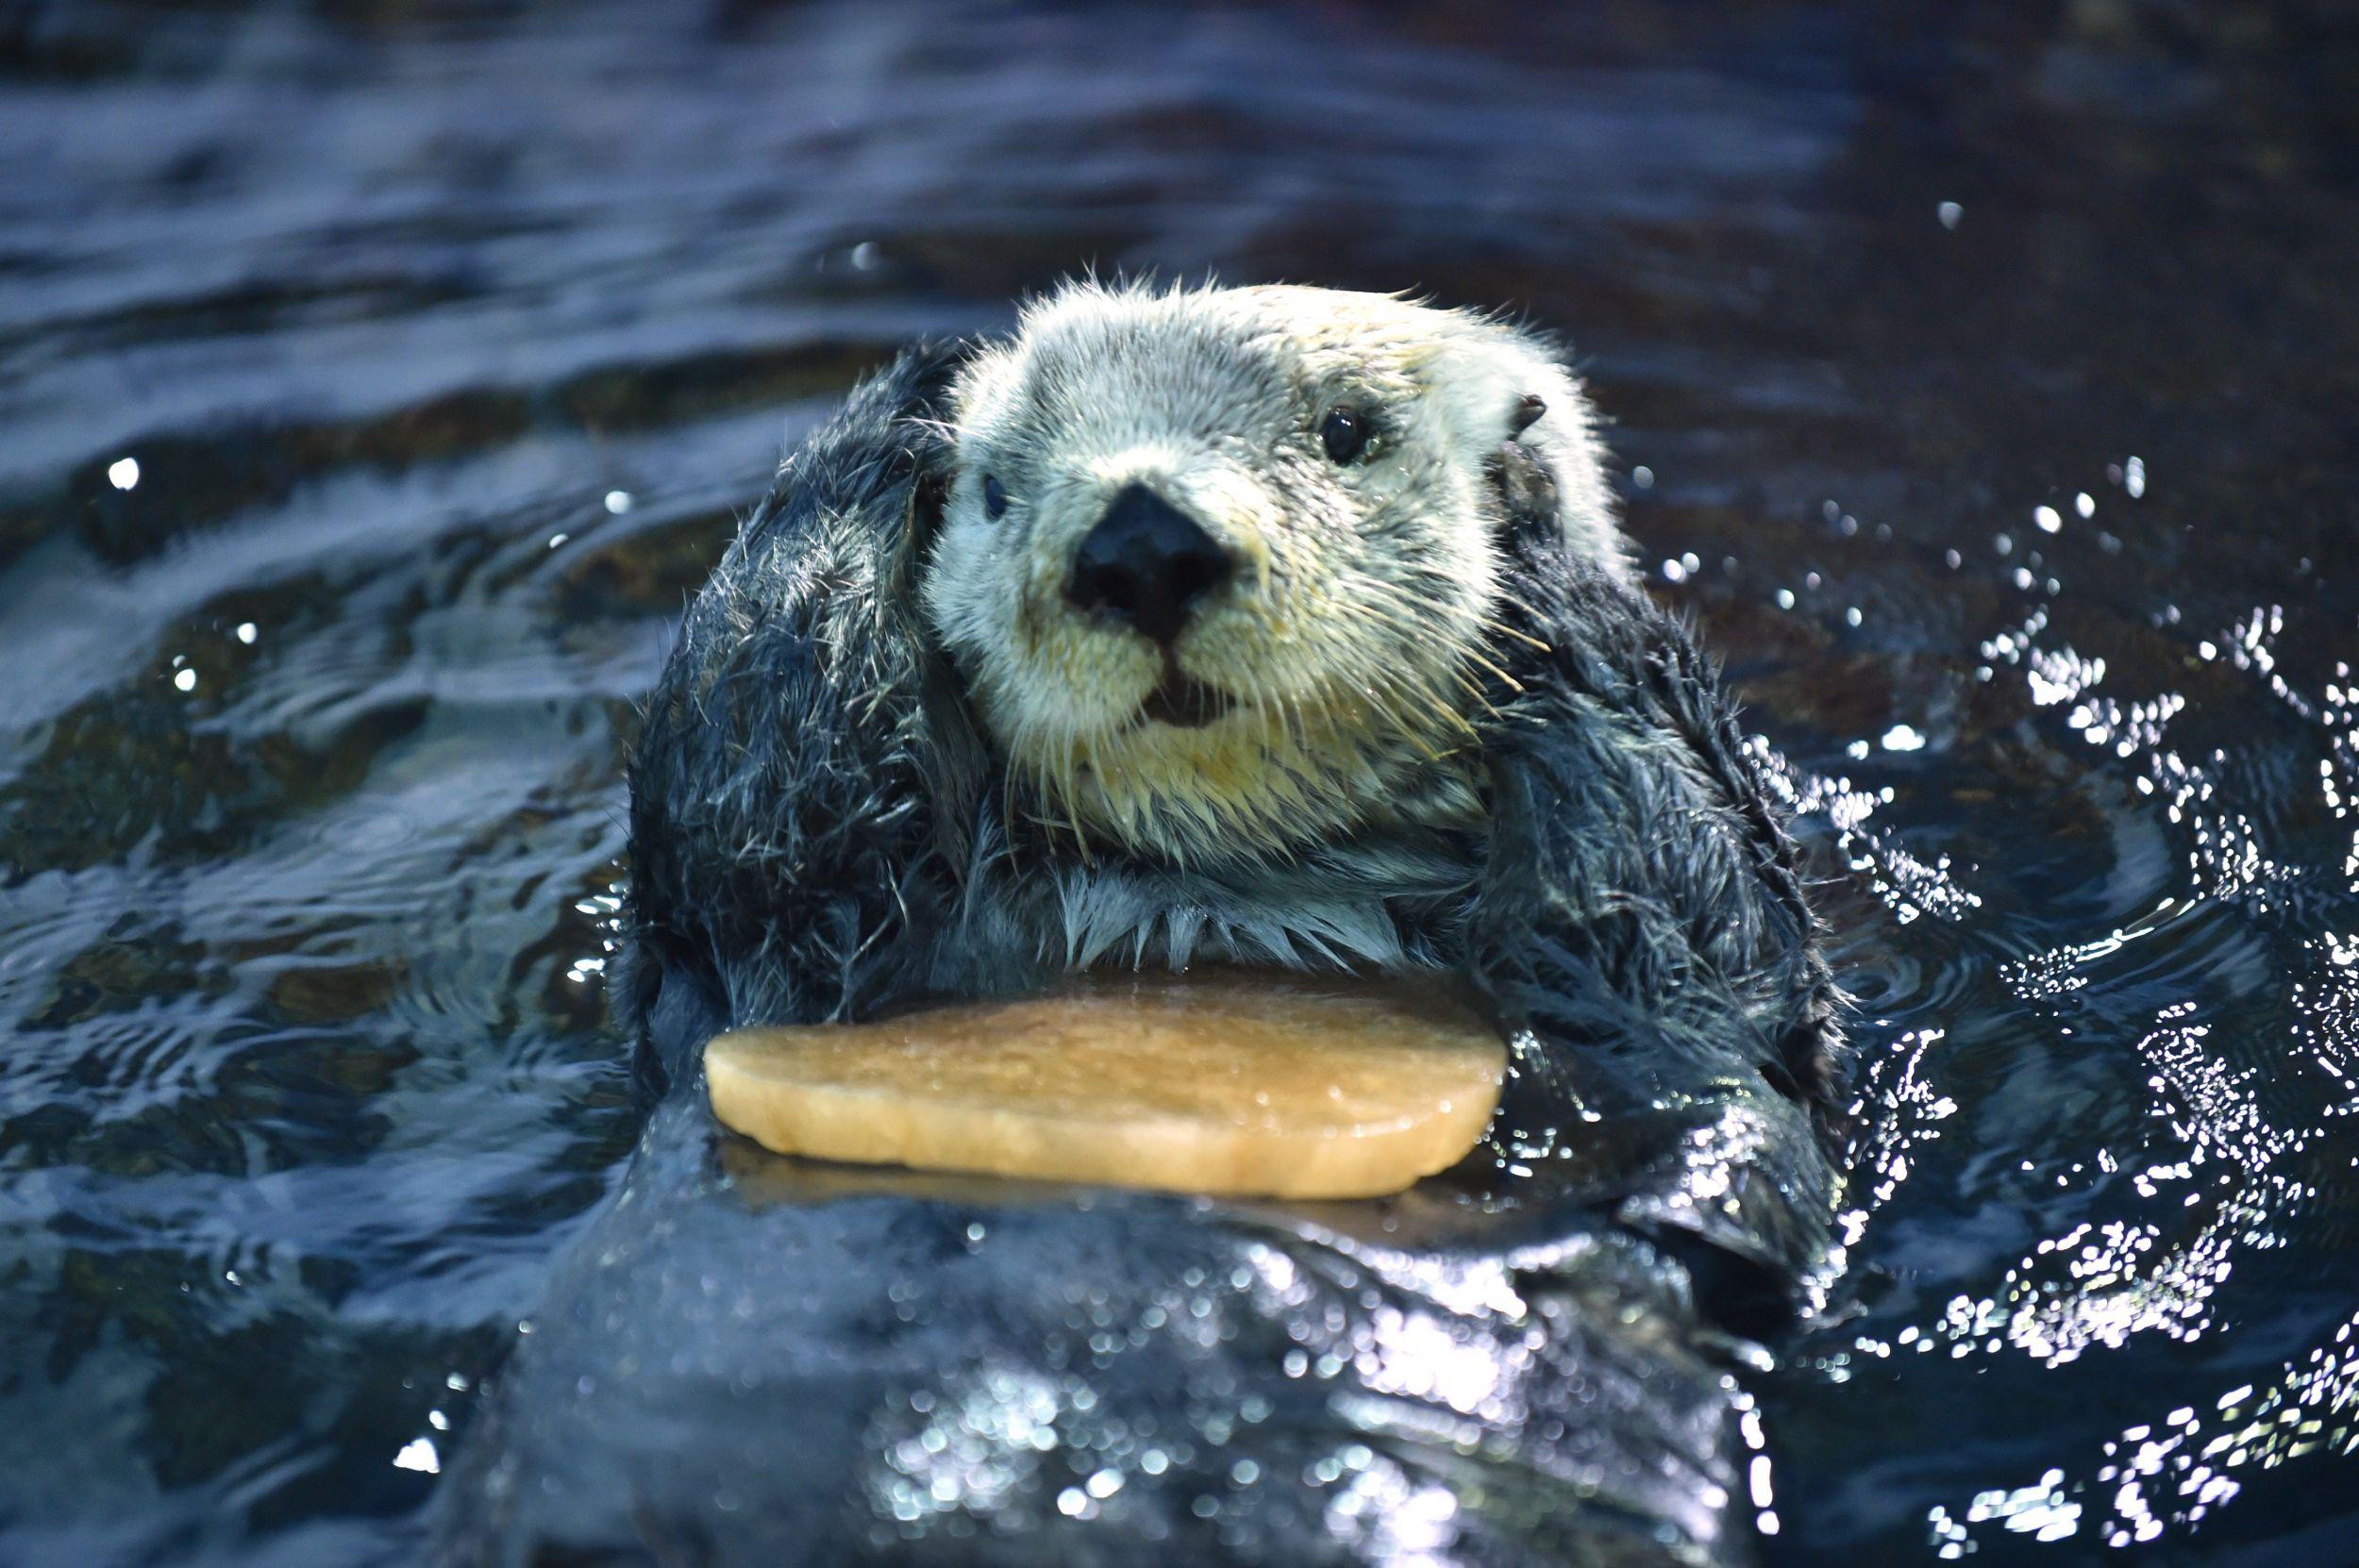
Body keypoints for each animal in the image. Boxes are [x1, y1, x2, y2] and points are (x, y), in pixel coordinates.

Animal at [435, 283, 1845, 1567]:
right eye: (1000, 490)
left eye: (1347, 430)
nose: (1143, 540)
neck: (1216, 905)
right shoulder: (772, 945)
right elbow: (753, 767)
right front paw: (901, 410)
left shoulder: (1672, 1022)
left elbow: (1700, 960)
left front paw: (1539, 540)